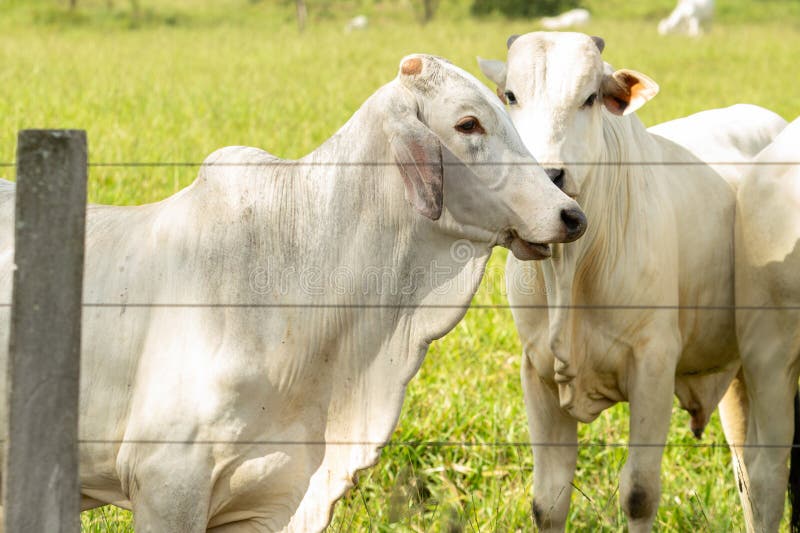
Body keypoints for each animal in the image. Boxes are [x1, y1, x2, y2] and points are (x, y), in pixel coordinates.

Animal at [478, 32, 781, 531]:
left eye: (590, 97)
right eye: (511, 96)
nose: (549, 177)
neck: (571, 269)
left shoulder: (653, 364)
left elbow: (639, 494)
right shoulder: (536, 370)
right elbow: (548, 502)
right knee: (750, 477)